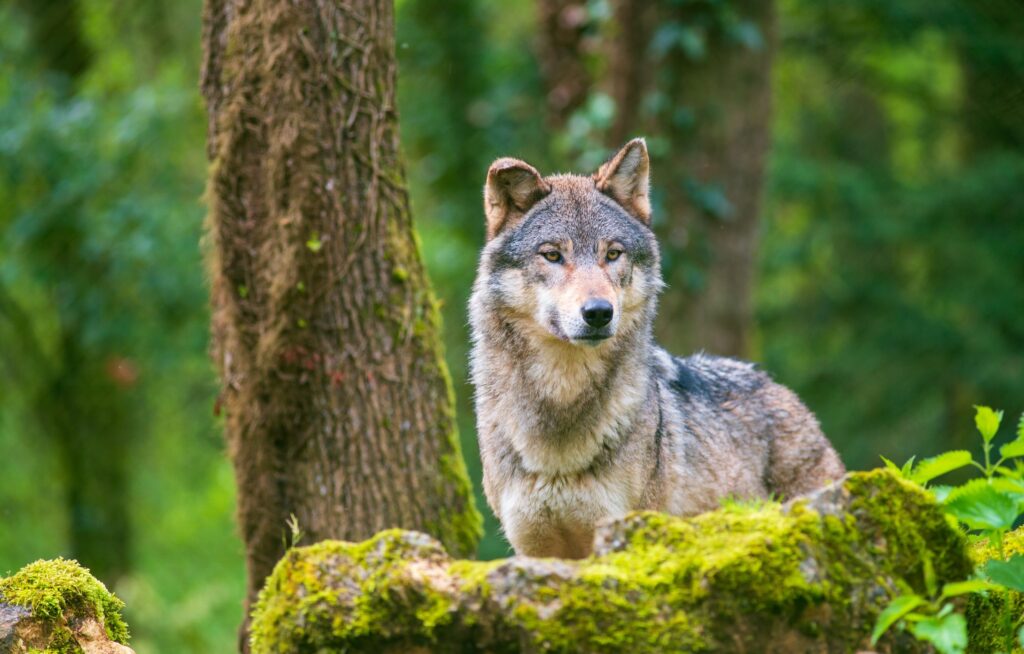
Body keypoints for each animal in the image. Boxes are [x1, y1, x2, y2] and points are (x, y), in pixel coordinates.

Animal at [469, 138, 845, 559]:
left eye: (612, 254)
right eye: (552, 255)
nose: (599, 313)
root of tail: (775, 385)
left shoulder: (625, 533)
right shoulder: (535, 551)